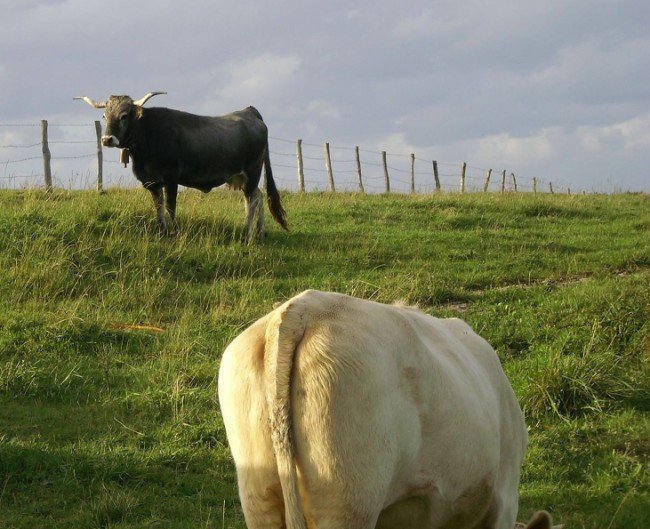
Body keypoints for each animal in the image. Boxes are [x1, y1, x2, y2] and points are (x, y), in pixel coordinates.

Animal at [74, 92, 287, 242]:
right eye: (105, 115)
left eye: (124, 115)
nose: (107, 139)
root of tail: (249, 112)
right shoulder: (151, 182)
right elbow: (158, 206)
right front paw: (162, 232)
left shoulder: (171, 178)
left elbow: (170, 206)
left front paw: (175, 232)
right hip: (242, 177)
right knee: (259, 197)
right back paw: (259, 233)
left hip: (252, 172)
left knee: (251, 201)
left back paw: (246, 235)